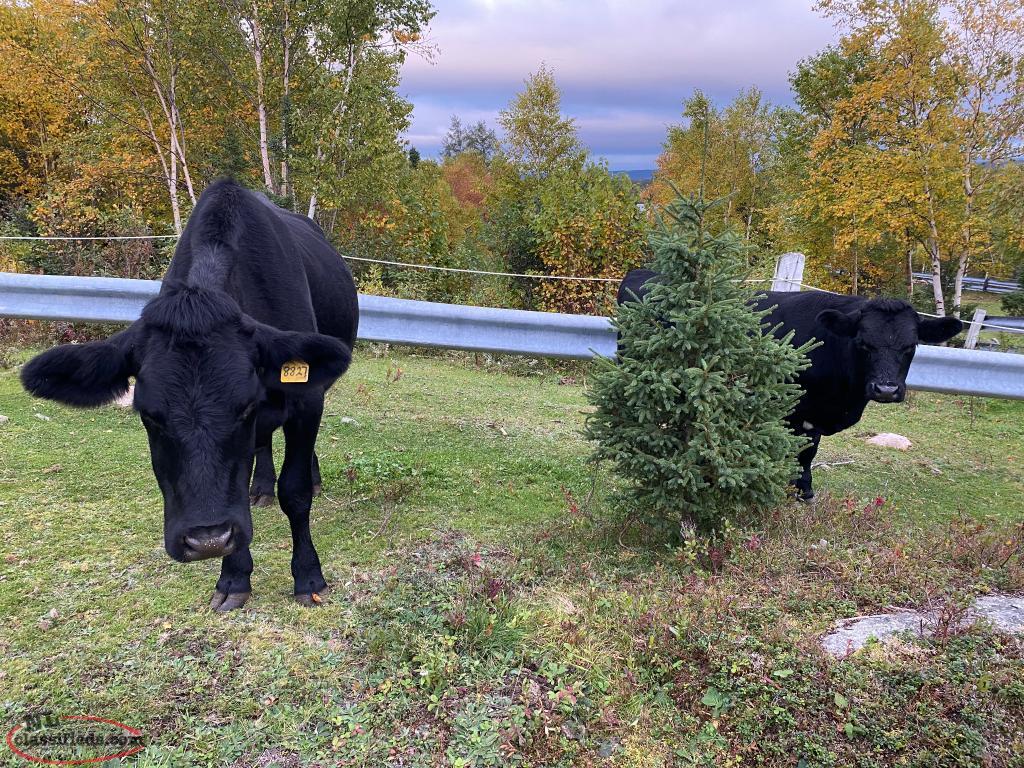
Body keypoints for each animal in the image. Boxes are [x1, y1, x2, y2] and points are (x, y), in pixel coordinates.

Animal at [21, 179, 358, 611]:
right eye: (149, 415)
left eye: (245, 406)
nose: (207, 539)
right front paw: (233, 577)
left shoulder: (306, 399)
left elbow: (295, 492)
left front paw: (309, 577)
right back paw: (260, 488)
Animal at [617, 269, 963, 500]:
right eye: (863, 343)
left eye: (911, 346)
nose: (886, 390)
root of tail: (642, 273)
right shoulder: (794, 409)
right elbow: (800, 450)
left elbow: (809, 451)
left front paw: (804, 490)